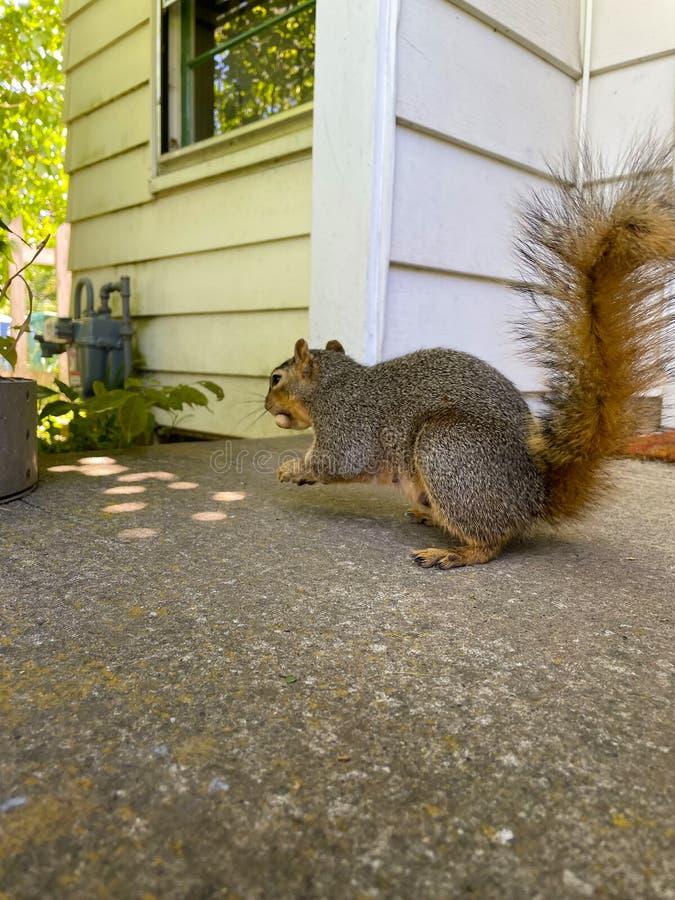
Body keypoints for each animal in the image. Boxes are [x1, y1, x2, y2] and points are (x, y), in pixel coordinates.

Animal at [264, 146, 675, 569]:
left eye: (276, 379)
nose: (265, 405)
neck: (332, 384)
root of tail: (532, 501)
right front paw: (299, 473)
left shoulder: (347, 424)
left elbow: (338, 462)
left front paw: (292, 469)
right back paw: (429, 517)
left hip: (447, 449)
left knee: (491, 541)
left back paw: (453, 552)